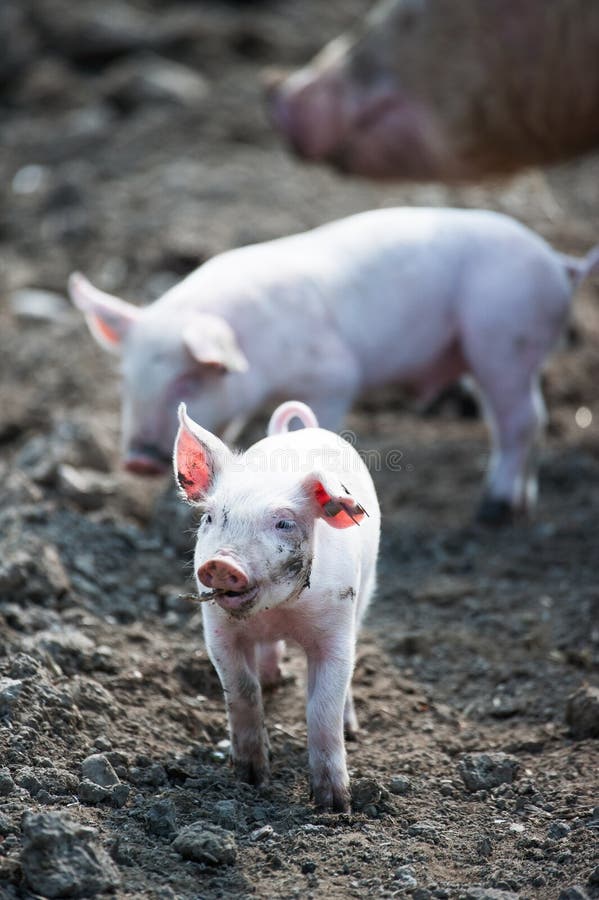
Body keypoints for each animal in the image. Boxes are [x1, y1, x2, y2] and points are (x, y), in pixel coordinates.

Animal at [69, 207, 599, 523]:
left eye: (185, 379)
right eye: (127, 381)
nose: (136, 459)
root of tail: (560, 263)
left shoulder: (333, 377)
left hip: (505, 337)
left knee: (524, 419)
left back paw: (494, 511)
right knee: (520, 419)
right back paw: (518, 504)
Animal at [173, 399, 380, 811]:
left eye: (284, 523)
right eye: (209, 518)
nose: (222, 563)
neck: (277, 612)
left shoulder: (336, 626)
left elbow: (322, 706)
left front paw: (335, 805)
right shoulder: (217, 632)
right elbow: (242, 689)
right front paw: (252, 779)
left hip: (365, 592)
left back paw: (351, 727)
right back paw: (272, 679)